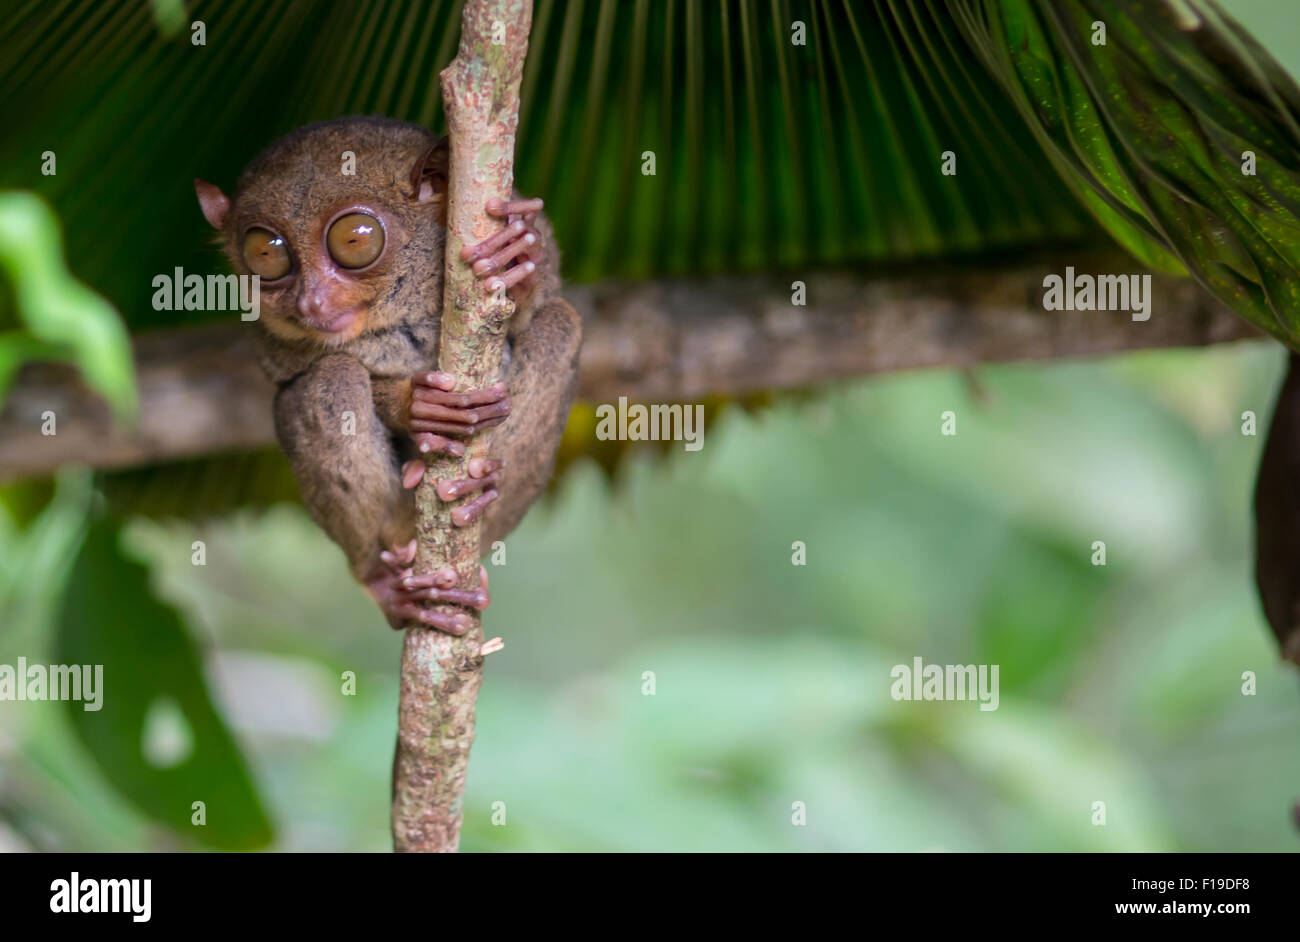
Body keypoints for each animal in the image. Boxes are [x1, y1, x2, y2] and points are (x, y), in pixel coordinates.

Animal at [193, 115, 581, 635]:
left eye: (355, 240)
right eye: (266, 256)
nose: (311, 302)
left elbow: (540, 300)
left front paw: (518, 260)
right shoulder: (274, 346)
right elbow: (300, 376)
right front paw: (416, 406)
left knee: (561, 323)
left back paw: (479, 490)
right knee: (331, 378)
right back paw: (386, 580)